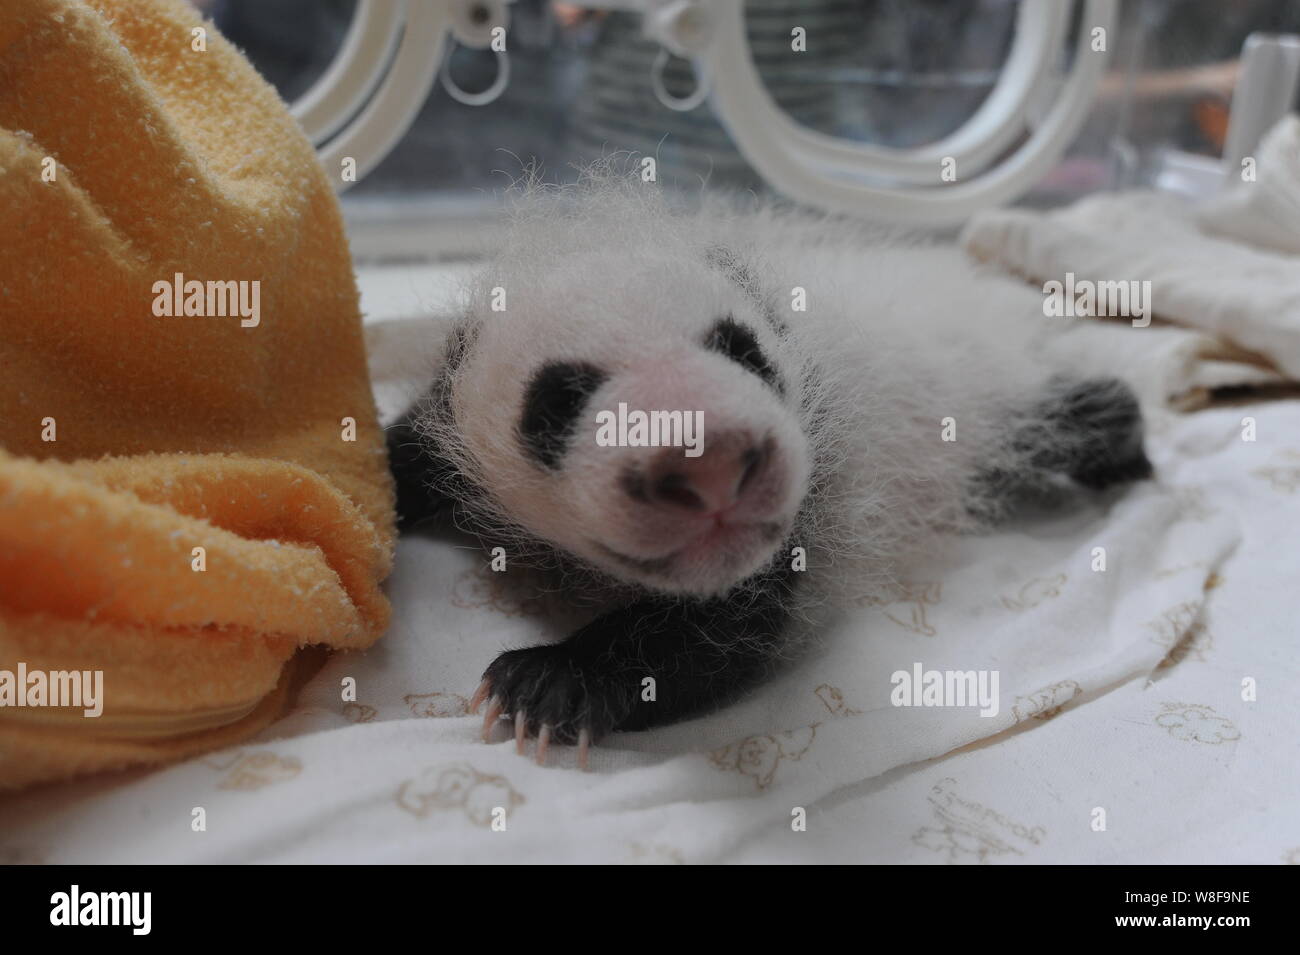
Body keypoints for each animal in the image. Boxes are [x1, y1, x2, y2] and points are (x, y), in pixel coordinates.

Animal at [386, 166, 1151, 769]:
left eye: (743, 350)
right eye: (560, 399)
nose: (713, 464)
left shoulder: (812, 486)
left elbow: (725, 628)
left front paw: (549, 682)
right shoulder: (451, 411)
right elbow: (405, 454)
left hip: (988, 394)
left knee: (1072, 415)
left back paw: (1125, 447)